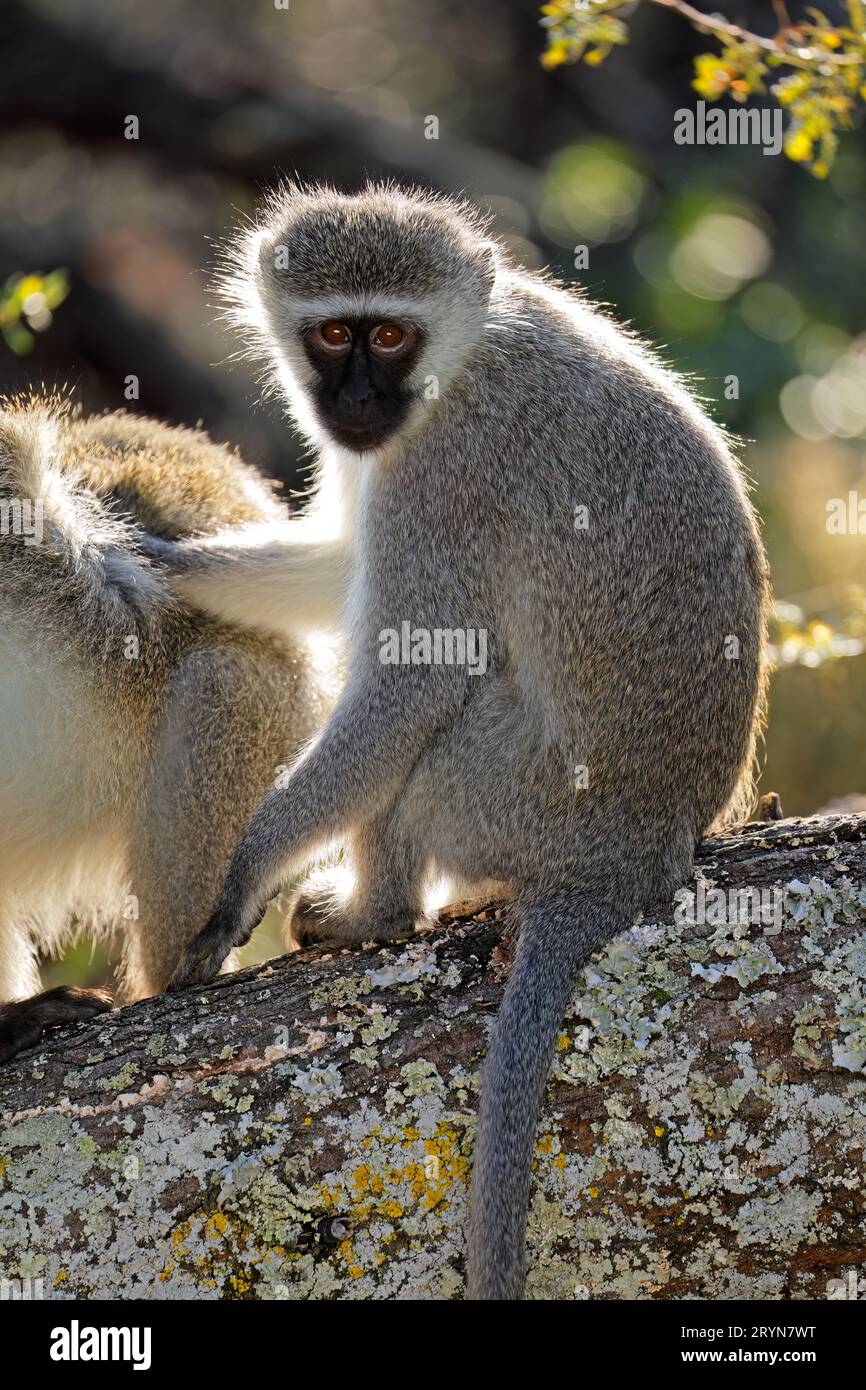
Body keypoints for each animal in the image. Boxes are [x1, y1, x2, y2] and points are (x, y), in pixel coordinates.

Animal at [139, 181, 770, 1300]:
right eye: (334, 332)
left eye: (390, 335)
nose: (353, 400)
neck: (460, 358)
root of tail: (639, 853)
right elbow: (340, 559)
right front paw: (135, 548)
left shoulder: (444, 468)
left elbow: (412, 675)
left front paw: (240, 876)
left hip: (520, 796)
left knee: (424, 760)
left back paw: (372, 914)